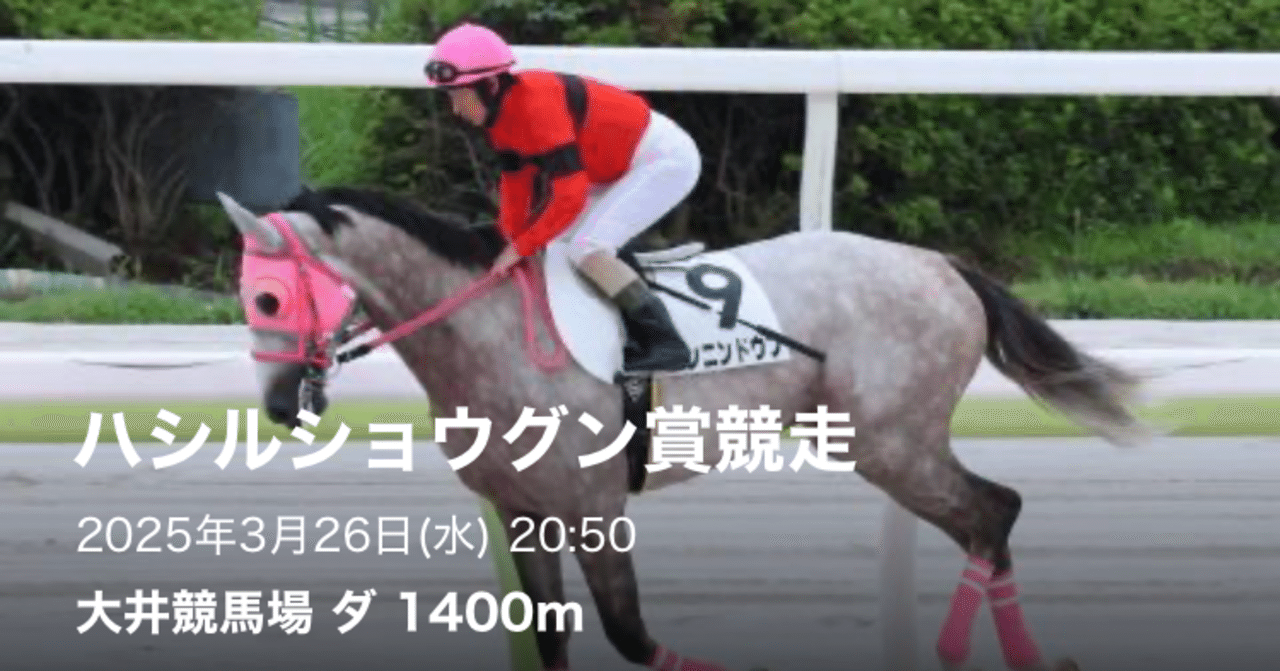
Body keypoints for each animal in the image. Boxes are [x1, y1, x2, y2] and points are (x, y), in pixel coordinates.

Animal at [215, 185, 1150, 671]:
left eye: (268, 296)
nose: (281, 404)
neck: (492, 333)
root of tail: (943, 264)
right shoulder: (522, 510)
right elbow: (551, 637)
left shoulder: (595, 505)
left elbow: (632, 637)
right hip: (887, 440)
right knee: (991, 518)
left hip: (891, 441)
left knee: (994, 511)